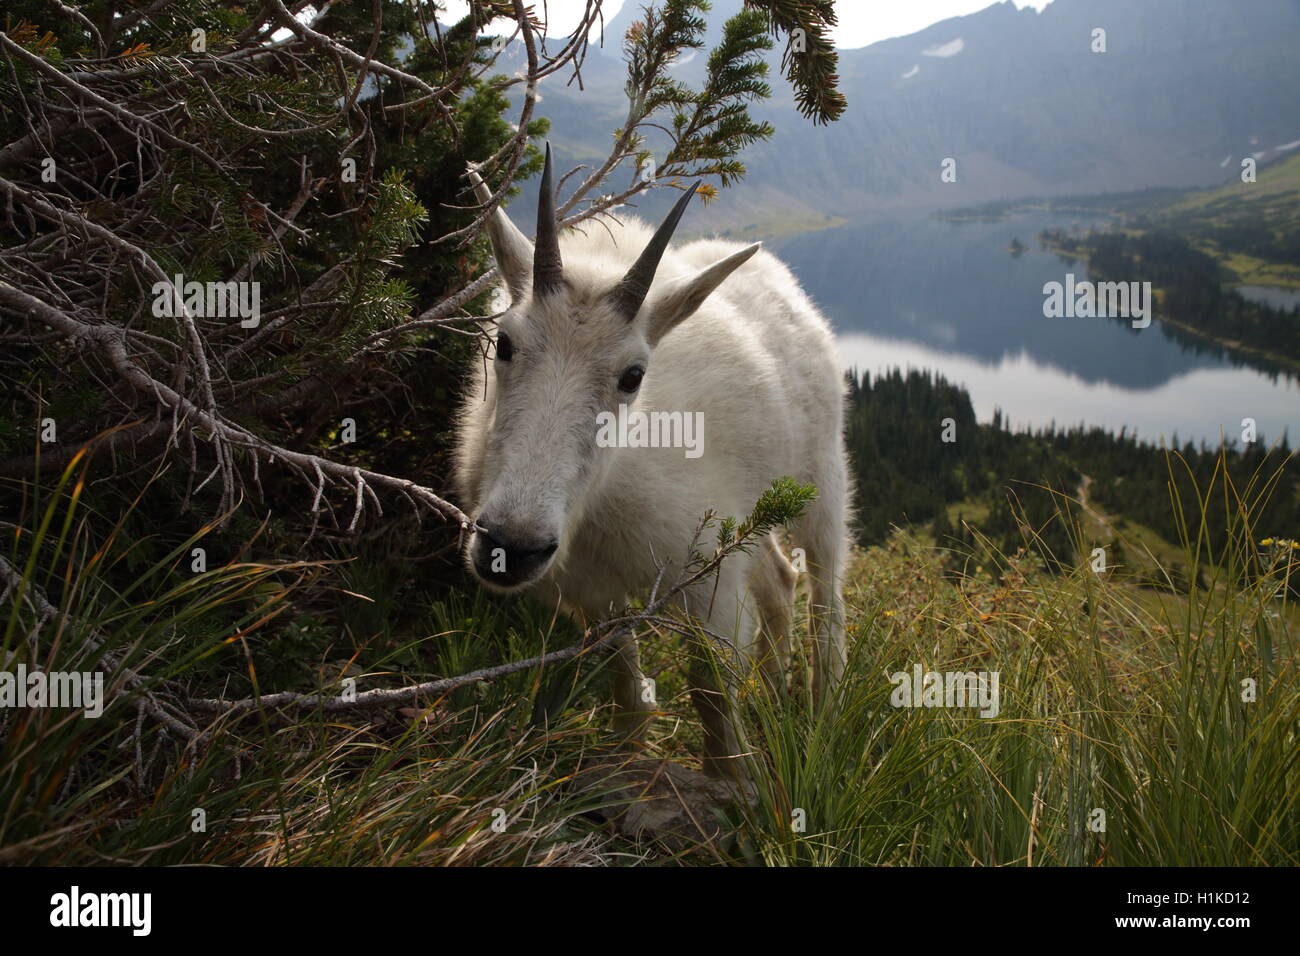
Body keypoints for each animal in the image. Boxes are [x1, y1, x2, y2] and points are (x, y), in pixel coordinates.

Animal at [454, 146, 850, 777]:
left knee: (827, 598)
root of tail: (781, 283)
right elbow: (622, 670)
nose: (510, 548)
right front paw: (627, 755)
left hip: (823, 474)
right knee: (780, 580)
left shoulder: (708, 584)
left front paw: (735, 782)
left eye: (634, 375)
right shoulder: (598, 588)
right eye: (504, 343)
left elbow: (710, 691)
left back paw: (818, 716)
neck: (601, 499)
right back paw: (772, 696)